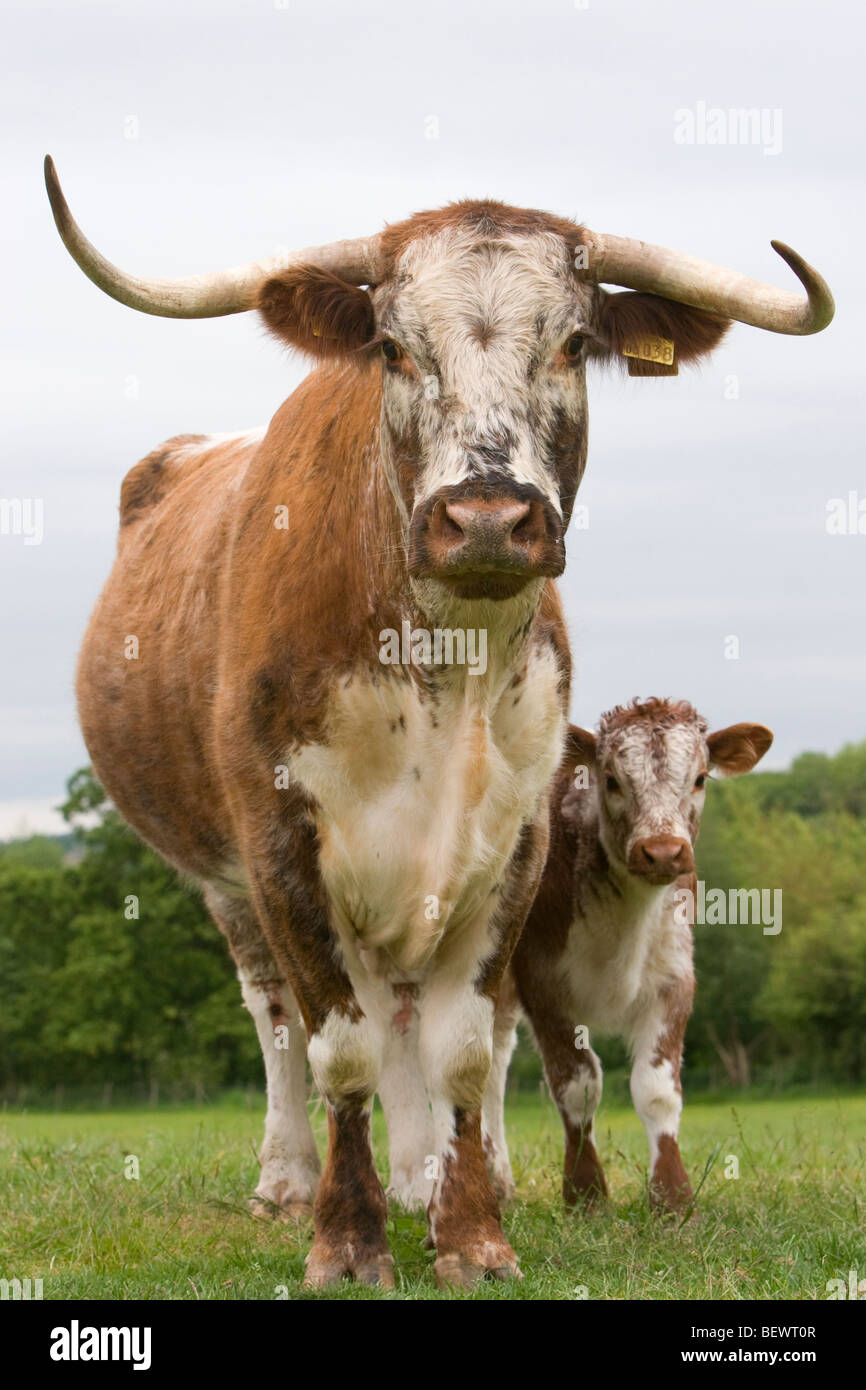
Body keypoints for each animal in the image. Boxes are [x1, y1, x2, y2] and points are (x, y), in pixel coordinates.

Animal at [479, 700, 773, 1216]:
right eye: (612, 780)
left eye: (699, 778)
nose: (663, 851)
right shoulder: (543, 981)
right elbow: (577, 1084)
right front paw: (585, 1193)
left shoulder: (675, 976)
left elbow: (657, 1089)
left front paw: (672, 1199)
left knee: (491, 1066)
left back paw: (498, 1183)